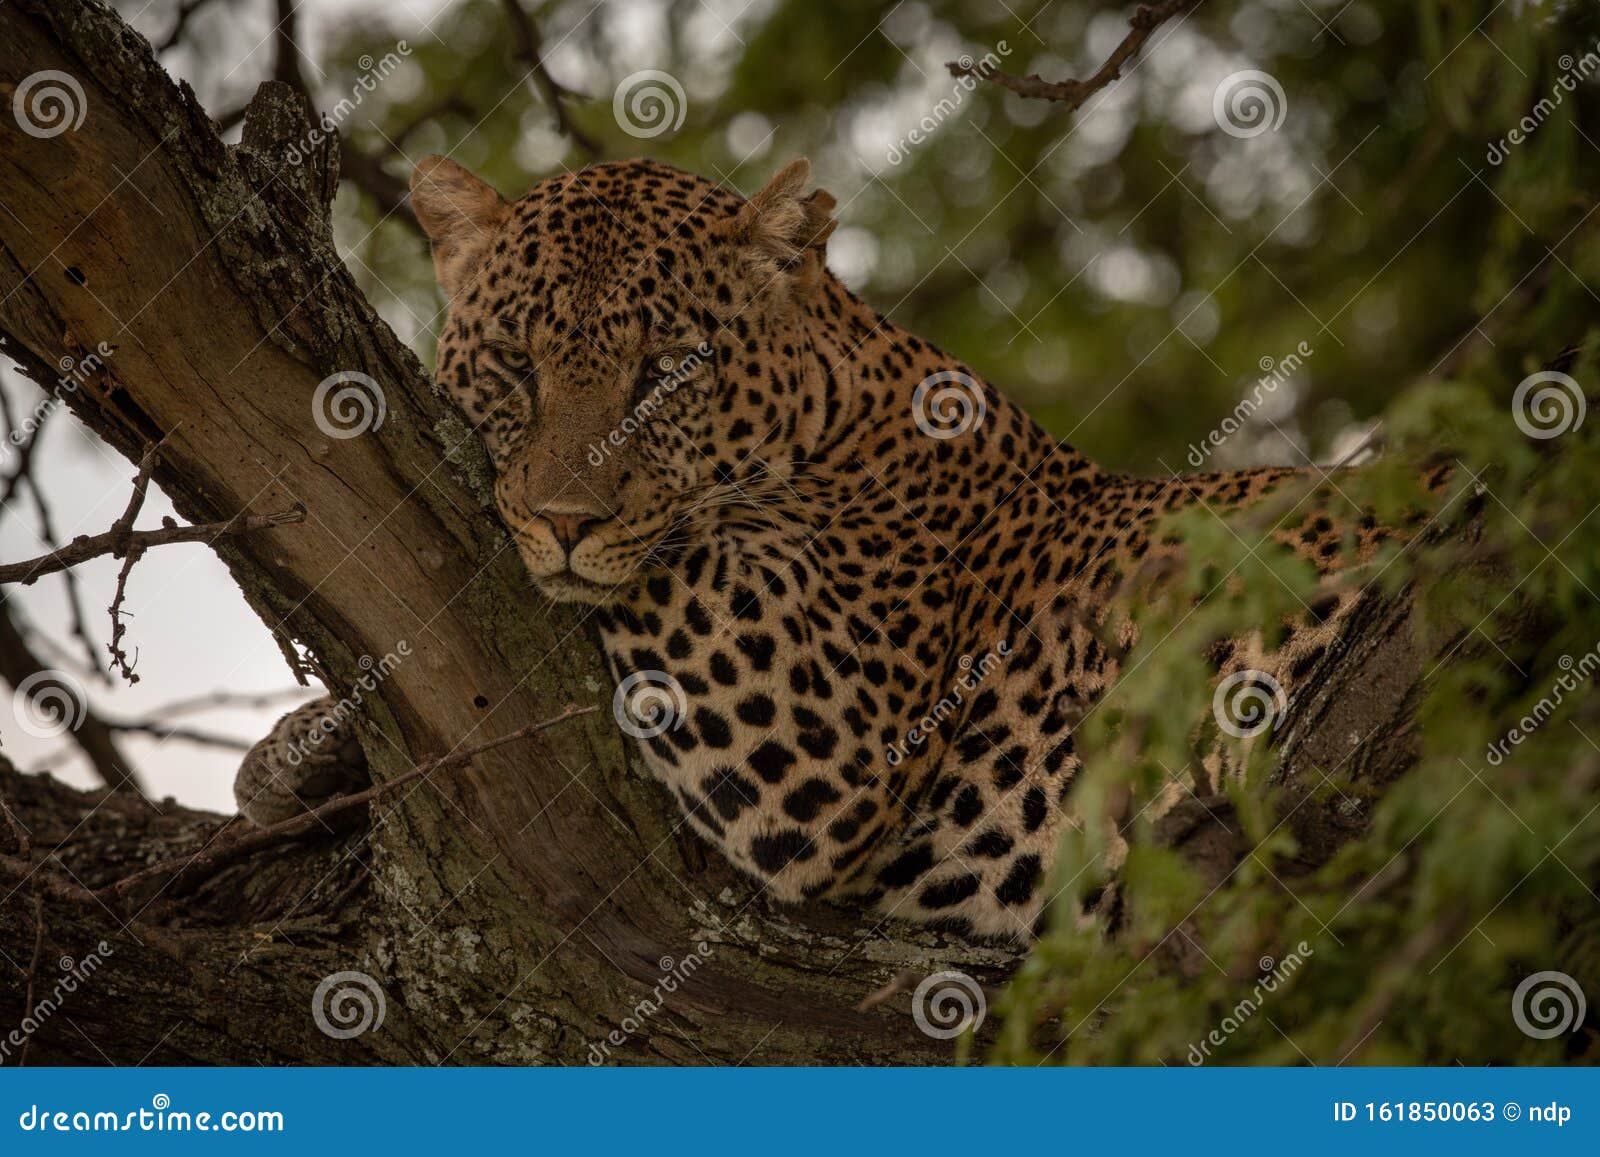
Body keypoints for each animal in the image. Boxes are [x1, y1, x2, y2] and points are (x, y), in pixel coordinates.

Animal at [236, 155, 1423, 941]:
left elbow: (663, 561)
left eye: (668, 369)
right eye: (513, 366)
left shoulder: (832, 731)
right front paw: (294, 752)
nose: (566, 518)